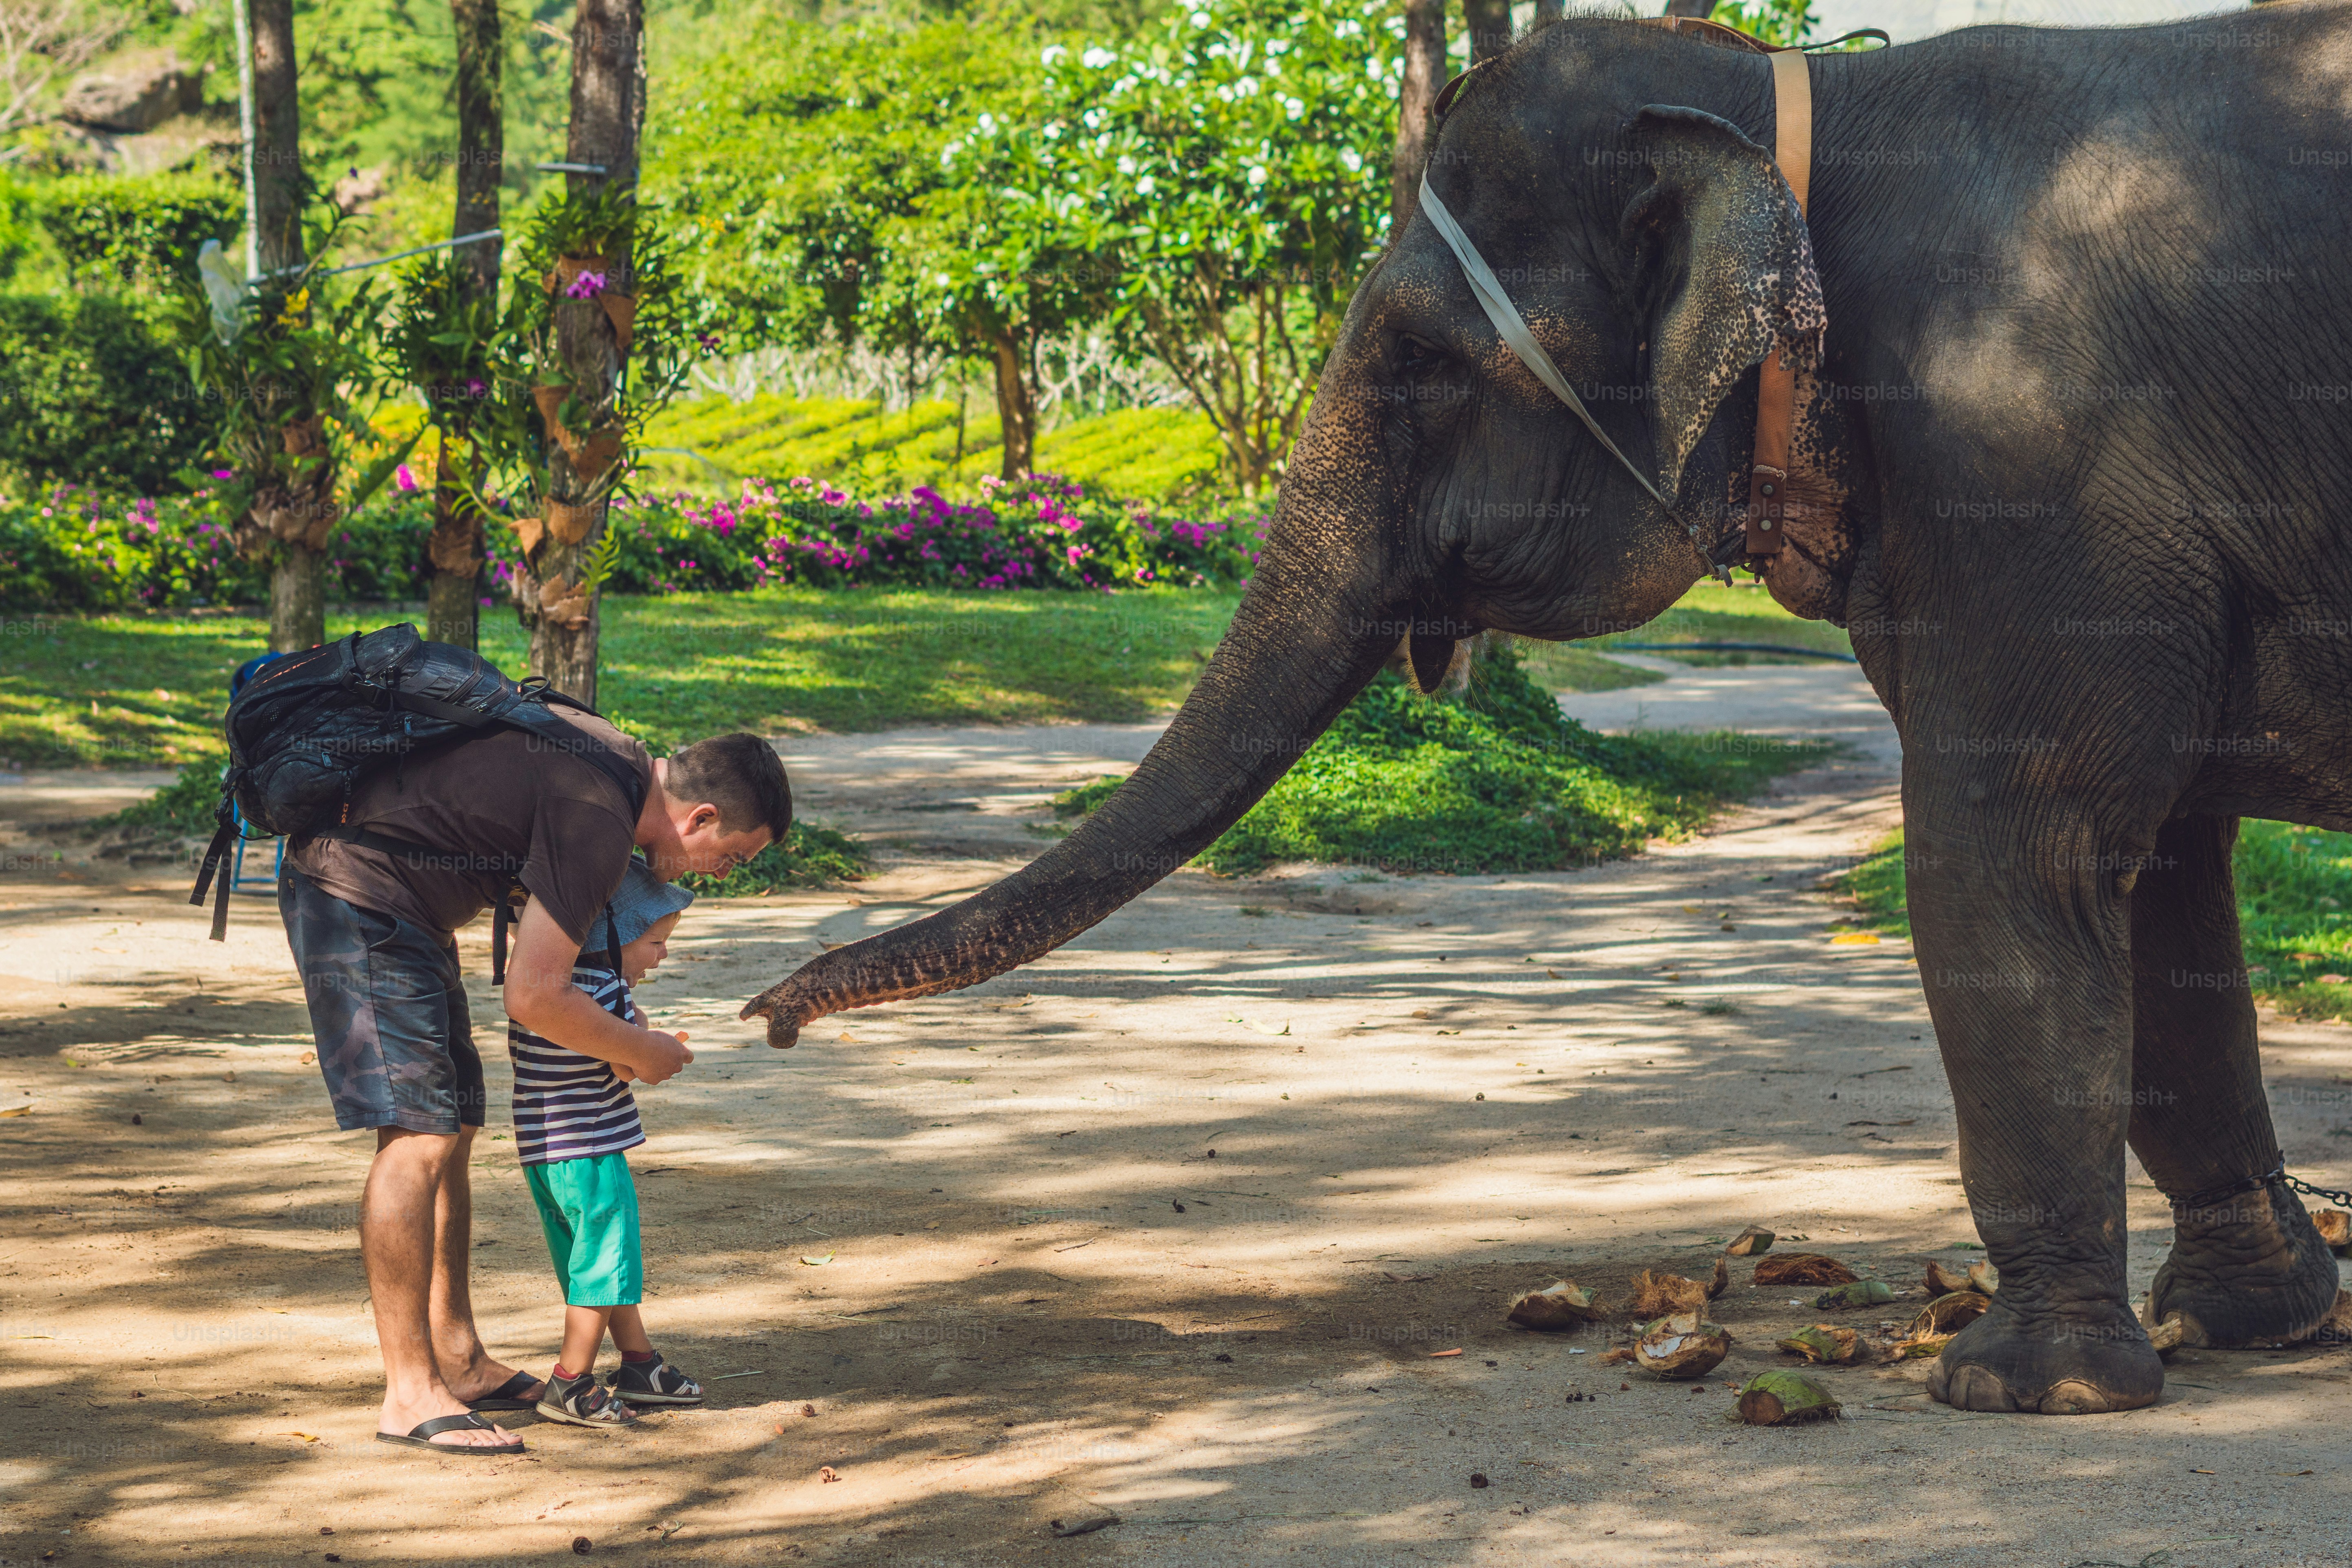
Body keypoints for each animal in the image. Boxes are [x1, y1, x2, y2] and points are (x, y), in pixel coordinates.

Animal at [747, 8, 2352, 1414]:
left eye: (1416, 359)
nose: (765, 1014)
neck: (1799, 101)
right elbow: (2162, 885)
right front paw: (2240, 1322)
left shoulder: (2023, 458)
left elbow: (2023, 847)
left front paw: (2019, 1391)